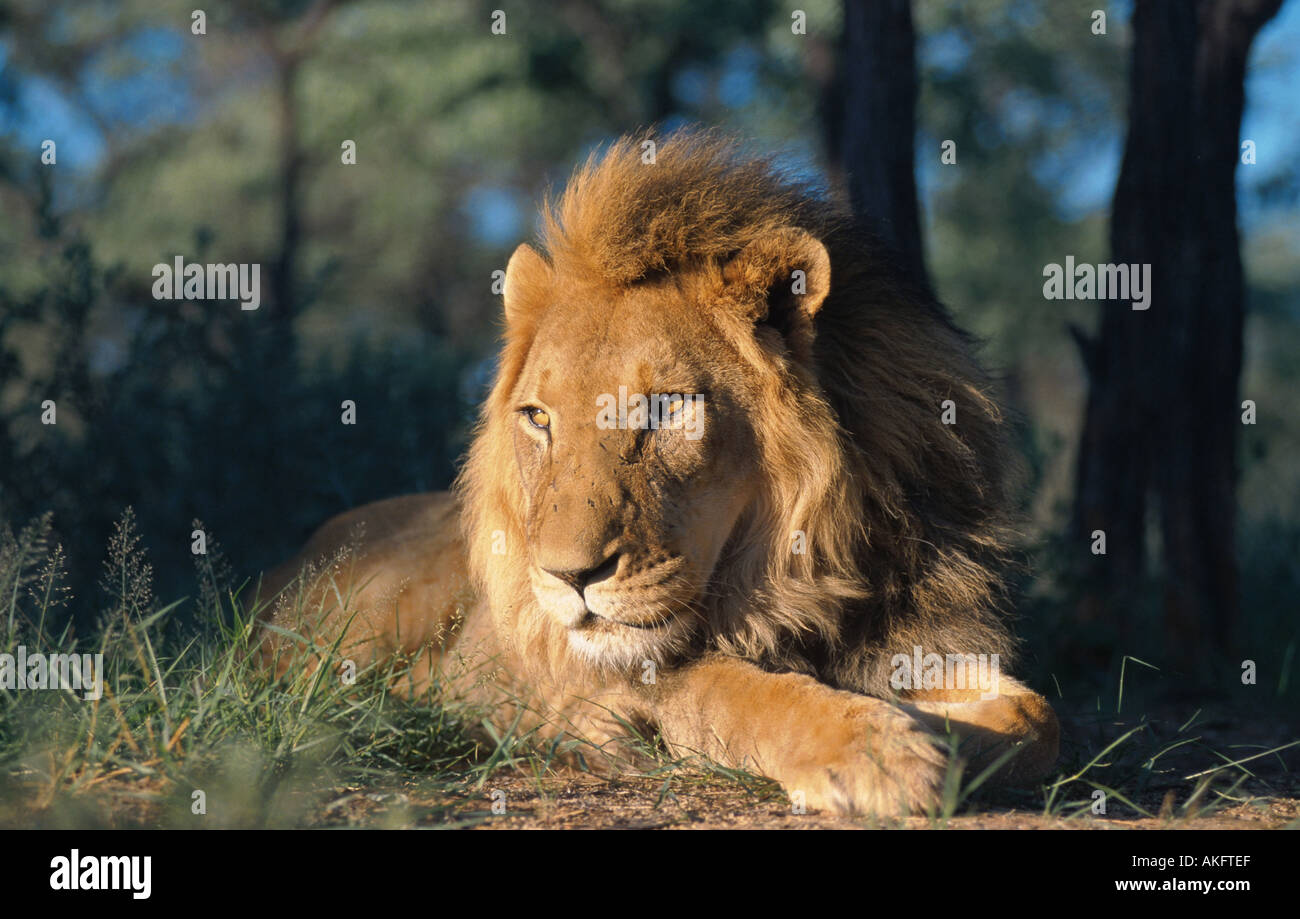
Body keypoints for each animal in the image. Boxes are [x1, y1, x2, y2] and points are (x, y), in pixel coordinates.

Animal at [256, 129, 1059, 816]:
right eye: (538, 417)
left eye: (667, 408)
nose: (567, 576)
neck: (800, 584)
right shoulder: (634, 677)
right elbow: (744, 693)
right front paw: (876, 750)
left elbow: (1036, 715)